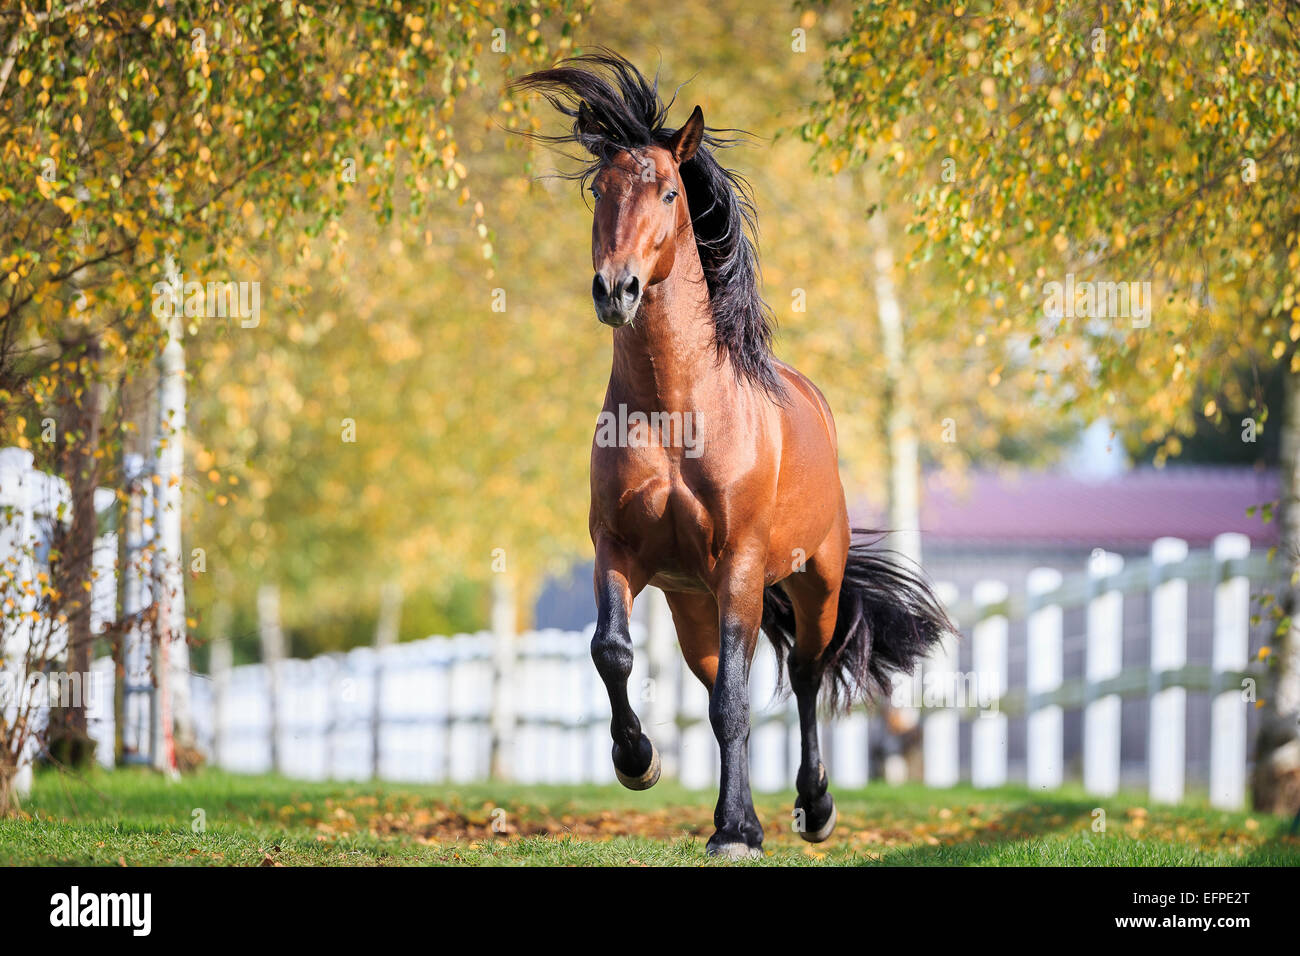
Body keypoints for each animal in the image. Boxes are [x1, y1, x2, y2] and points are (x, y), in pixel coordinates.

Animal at [516, 52, 952, 859]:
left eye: (666, 189)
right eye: (599, 189)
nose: (615, 289)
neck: (674, 414)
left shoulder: (742, 567)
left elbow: (737, 705)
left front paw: (738, 831)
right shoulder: (615, 549)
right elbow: (614, 653)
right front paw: (638, 761)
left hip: (813, 584)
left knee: (806, 675)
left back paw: (814, 806)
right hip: (692, 605)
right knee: (722, 679)